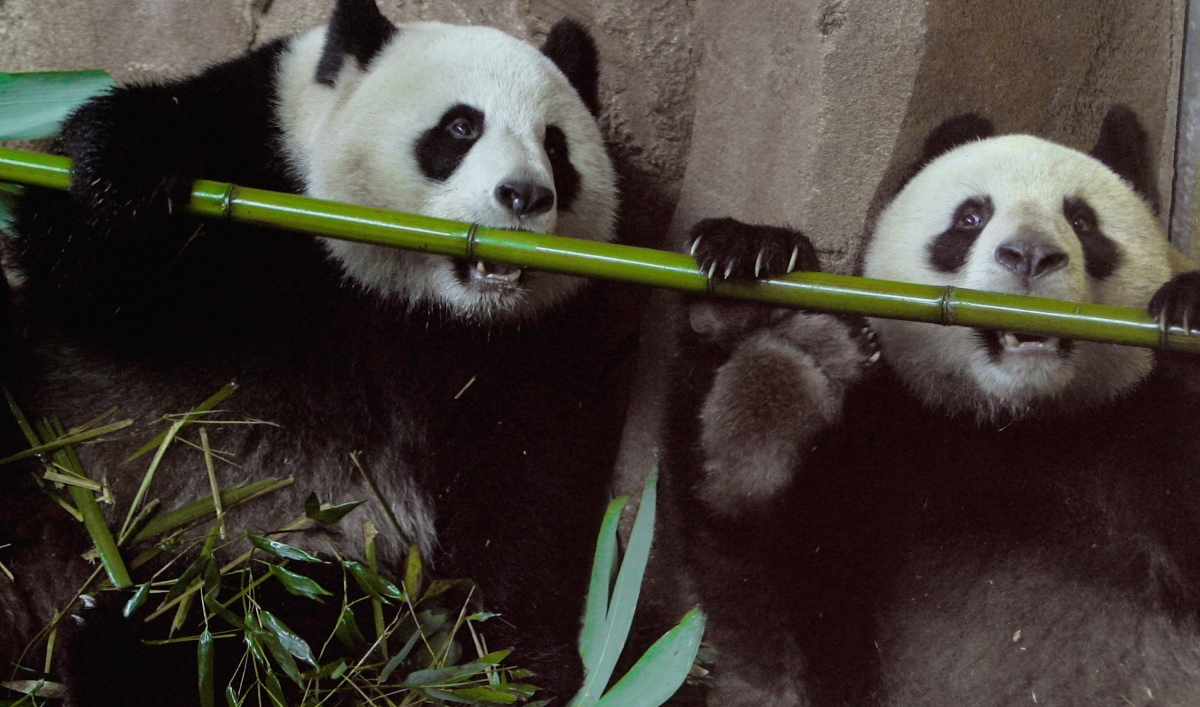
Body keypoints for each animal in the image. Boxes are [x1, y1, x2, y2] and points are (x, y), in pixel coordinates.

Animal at [0, 0, 627, 703]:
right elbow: (89, 274)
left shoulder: (534, 340)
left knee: (260, 622)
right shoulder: (254, 153)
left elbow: (529, 485)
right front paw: (121, 172)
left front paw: (511, 664)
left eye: (556, 145)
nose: (525, 195)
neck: (413, 300)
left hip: (311, 569)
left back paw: (120, 638)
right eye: (461, 127)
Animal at [658, 106, 1200, 707]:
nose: (1030, 255)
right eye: (970, 218)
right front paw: (747, 279)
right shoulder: (889, 435)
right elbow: (768, 608)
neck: (1015, 423)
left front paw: (1191, 308)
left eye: (1082, 221)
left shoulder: (1132, 441)